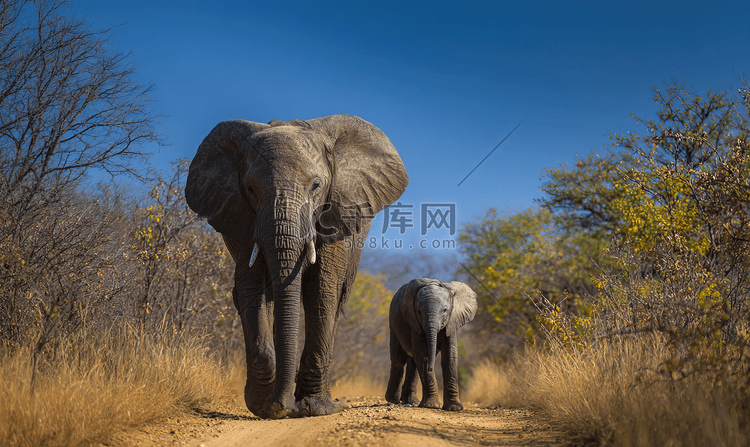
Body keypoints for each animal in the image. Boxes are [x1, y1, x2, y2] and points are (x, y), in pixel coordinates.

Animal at [185, 114, 408, 419]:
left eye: (316, 186)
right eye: (251, 189)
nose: (283, 407)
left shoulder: (335, 212)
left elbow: (322, 290)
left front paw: (314, 408)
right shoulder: (242, 217)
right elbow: (251, 286)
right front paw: (263, 405)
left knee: (337, 300)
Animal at [385, 278, 477, 411]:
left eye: (445, 310)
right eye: (419, 312)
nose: (431, 367)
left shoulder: (451, 322)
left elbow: (449, 356)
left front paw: (454, 408)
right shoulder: (415, 324)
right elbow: (423, 355)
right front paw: (431, 405)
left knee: (413, 364)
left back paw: (412, 402)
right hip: (394, 323)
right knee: (399, 359)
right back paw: (393, 400)